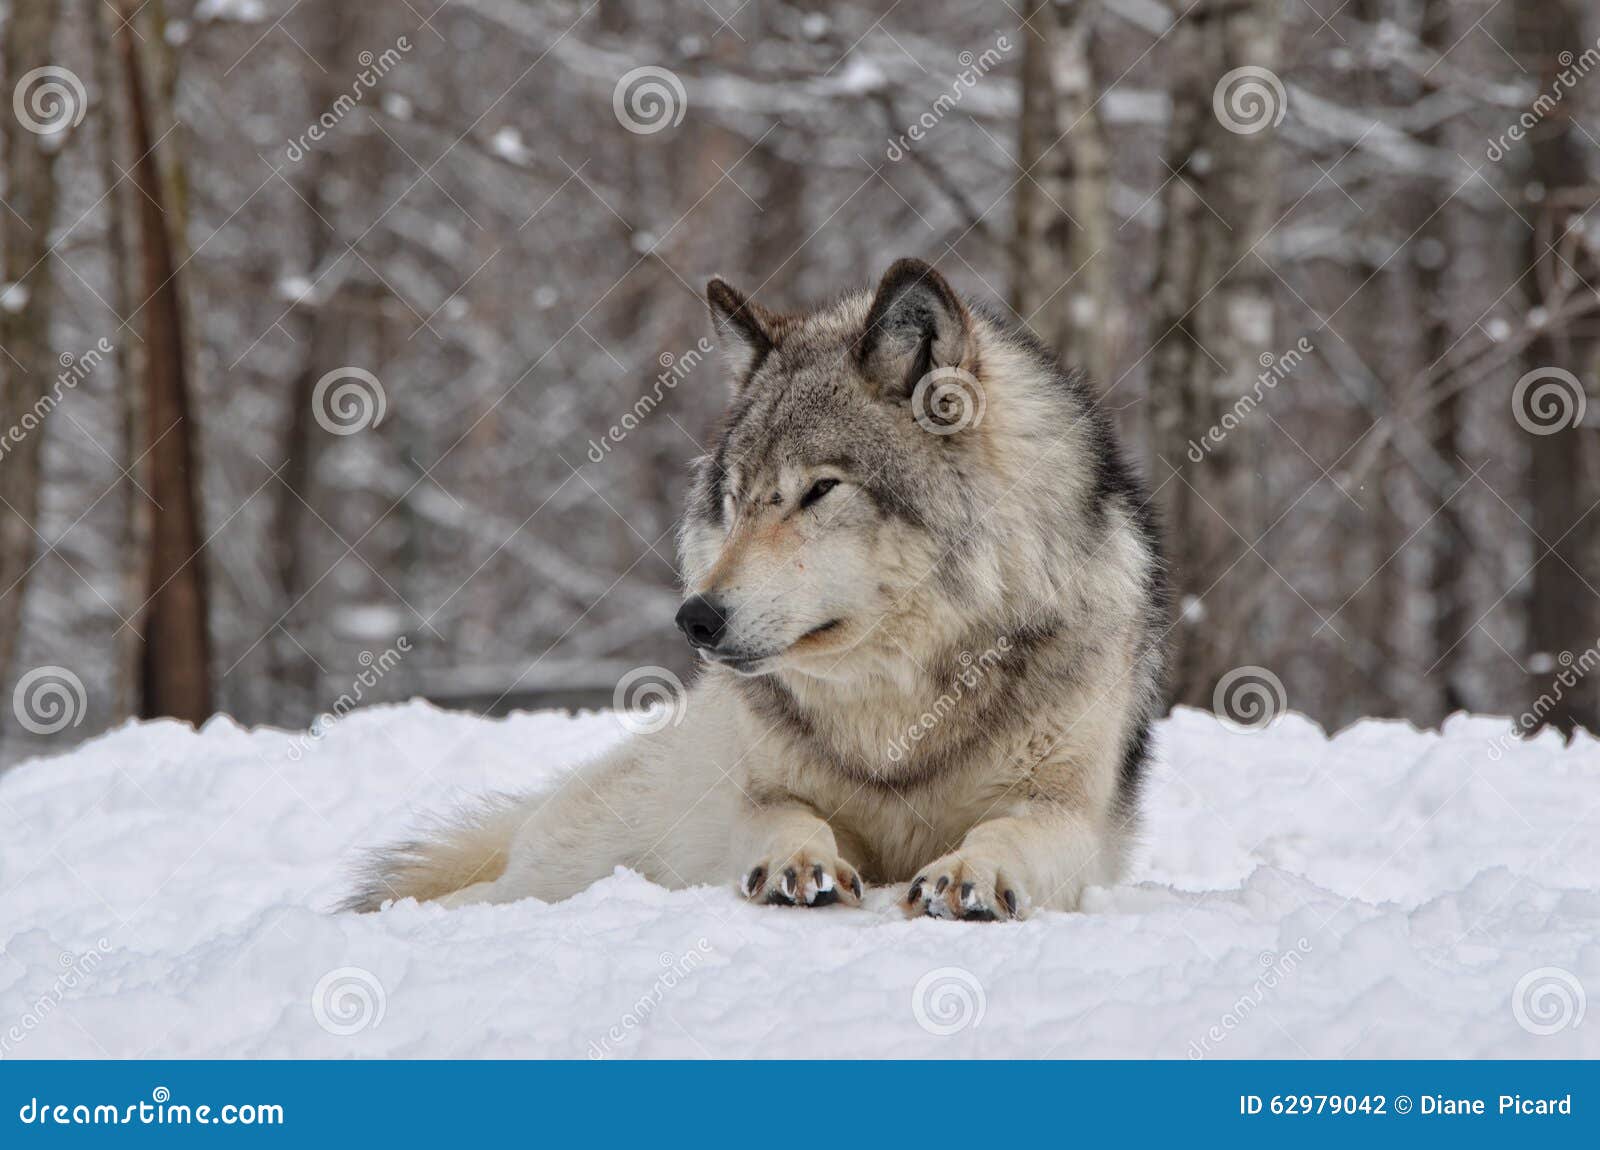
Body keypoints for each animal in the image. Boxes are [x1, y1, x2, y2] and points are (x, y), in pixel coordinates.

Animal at [344, 258, 1168, 920]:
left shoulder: (1069, 813)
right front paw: (796, 864)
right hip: (595, 850)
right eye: (736, 498)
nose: (696, 618)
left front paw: (971, 870)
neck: (897, 714)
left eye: (819, 491)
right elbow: (786, 820)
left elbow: (1011, 830)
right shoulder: (766, 795)